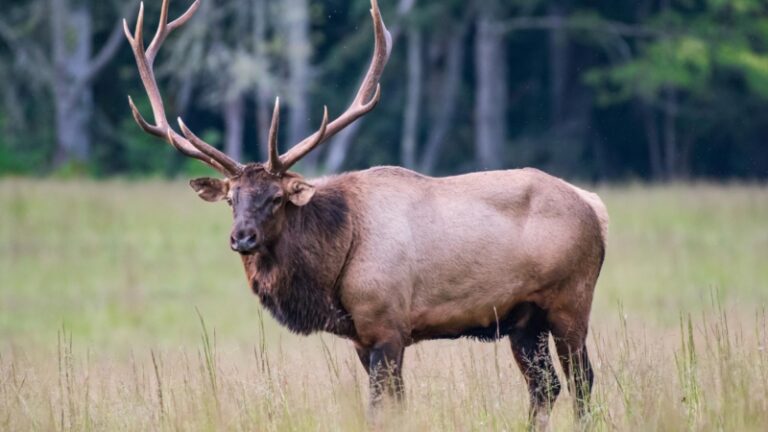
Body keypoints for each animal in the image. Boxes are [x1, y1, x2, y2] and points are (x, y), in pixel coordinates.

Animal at [123, 0, 609, 428]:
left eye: (277, 197)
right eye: (231, 198)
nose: (242, 237)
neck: (333, 264)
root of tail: (594, 206)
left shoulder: (388, 326)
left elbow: (380, 409)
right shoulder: (362, 337)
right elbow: (395, 406)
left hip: (571, 298)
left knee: (582, 381)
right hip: (524, 319)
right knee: (545, 386)